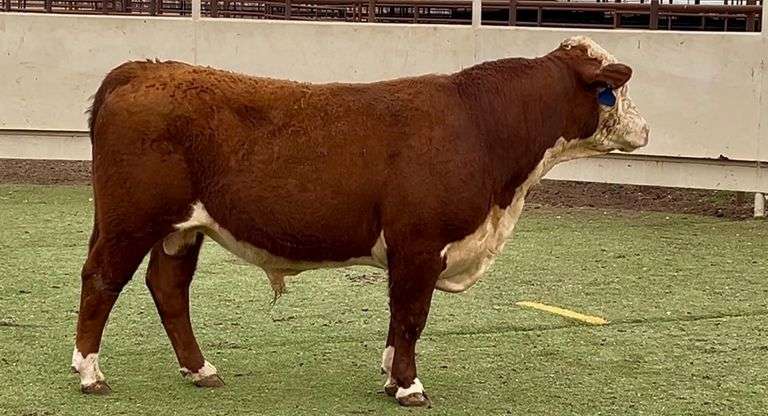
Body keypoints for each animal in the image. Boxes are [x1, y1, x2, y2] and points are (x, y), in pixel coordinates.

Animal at [71, 35, 649, 406]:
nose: (645, 129)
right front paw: (411, 388)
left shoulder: (406, 252)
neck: (482, 126)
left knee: (168, 288)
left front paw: (391, 379)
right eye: (615, 89)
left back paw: (201, 370)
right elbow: (413, 317)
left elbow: (398, 317)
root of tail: (146, 68)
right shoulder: (420, 244)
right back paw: (90, 374)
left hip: (181, 229)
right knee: (101, 281)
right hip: (130, 220)